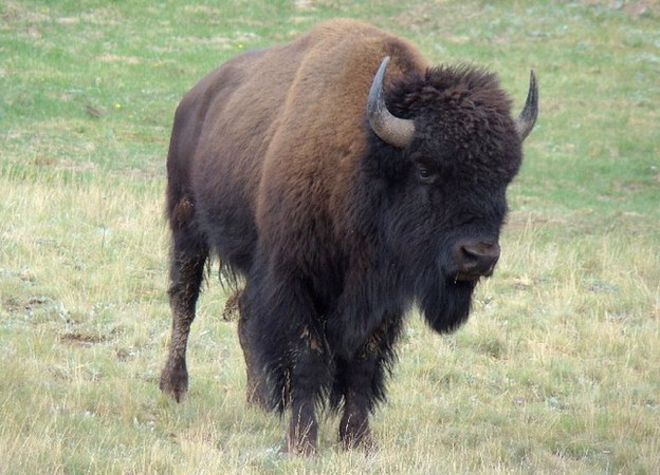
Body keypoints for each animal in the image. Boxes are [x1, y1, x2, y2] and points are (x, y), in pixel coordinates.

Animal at [159, 19, 538, 454]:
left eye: (505, 177)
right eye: (425, 168)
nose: (479, 255)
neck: (365, 161)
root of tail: (195, 99)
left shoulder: (383, 297)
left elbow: (363, 363)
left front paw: (358, 440)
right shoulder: (295, 278)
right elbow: (307, 356)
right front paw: (302, 442)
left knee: (243, 314)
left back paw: (260, 402)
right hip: (187, 225)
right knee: (184, 301)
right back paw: (174, 386)